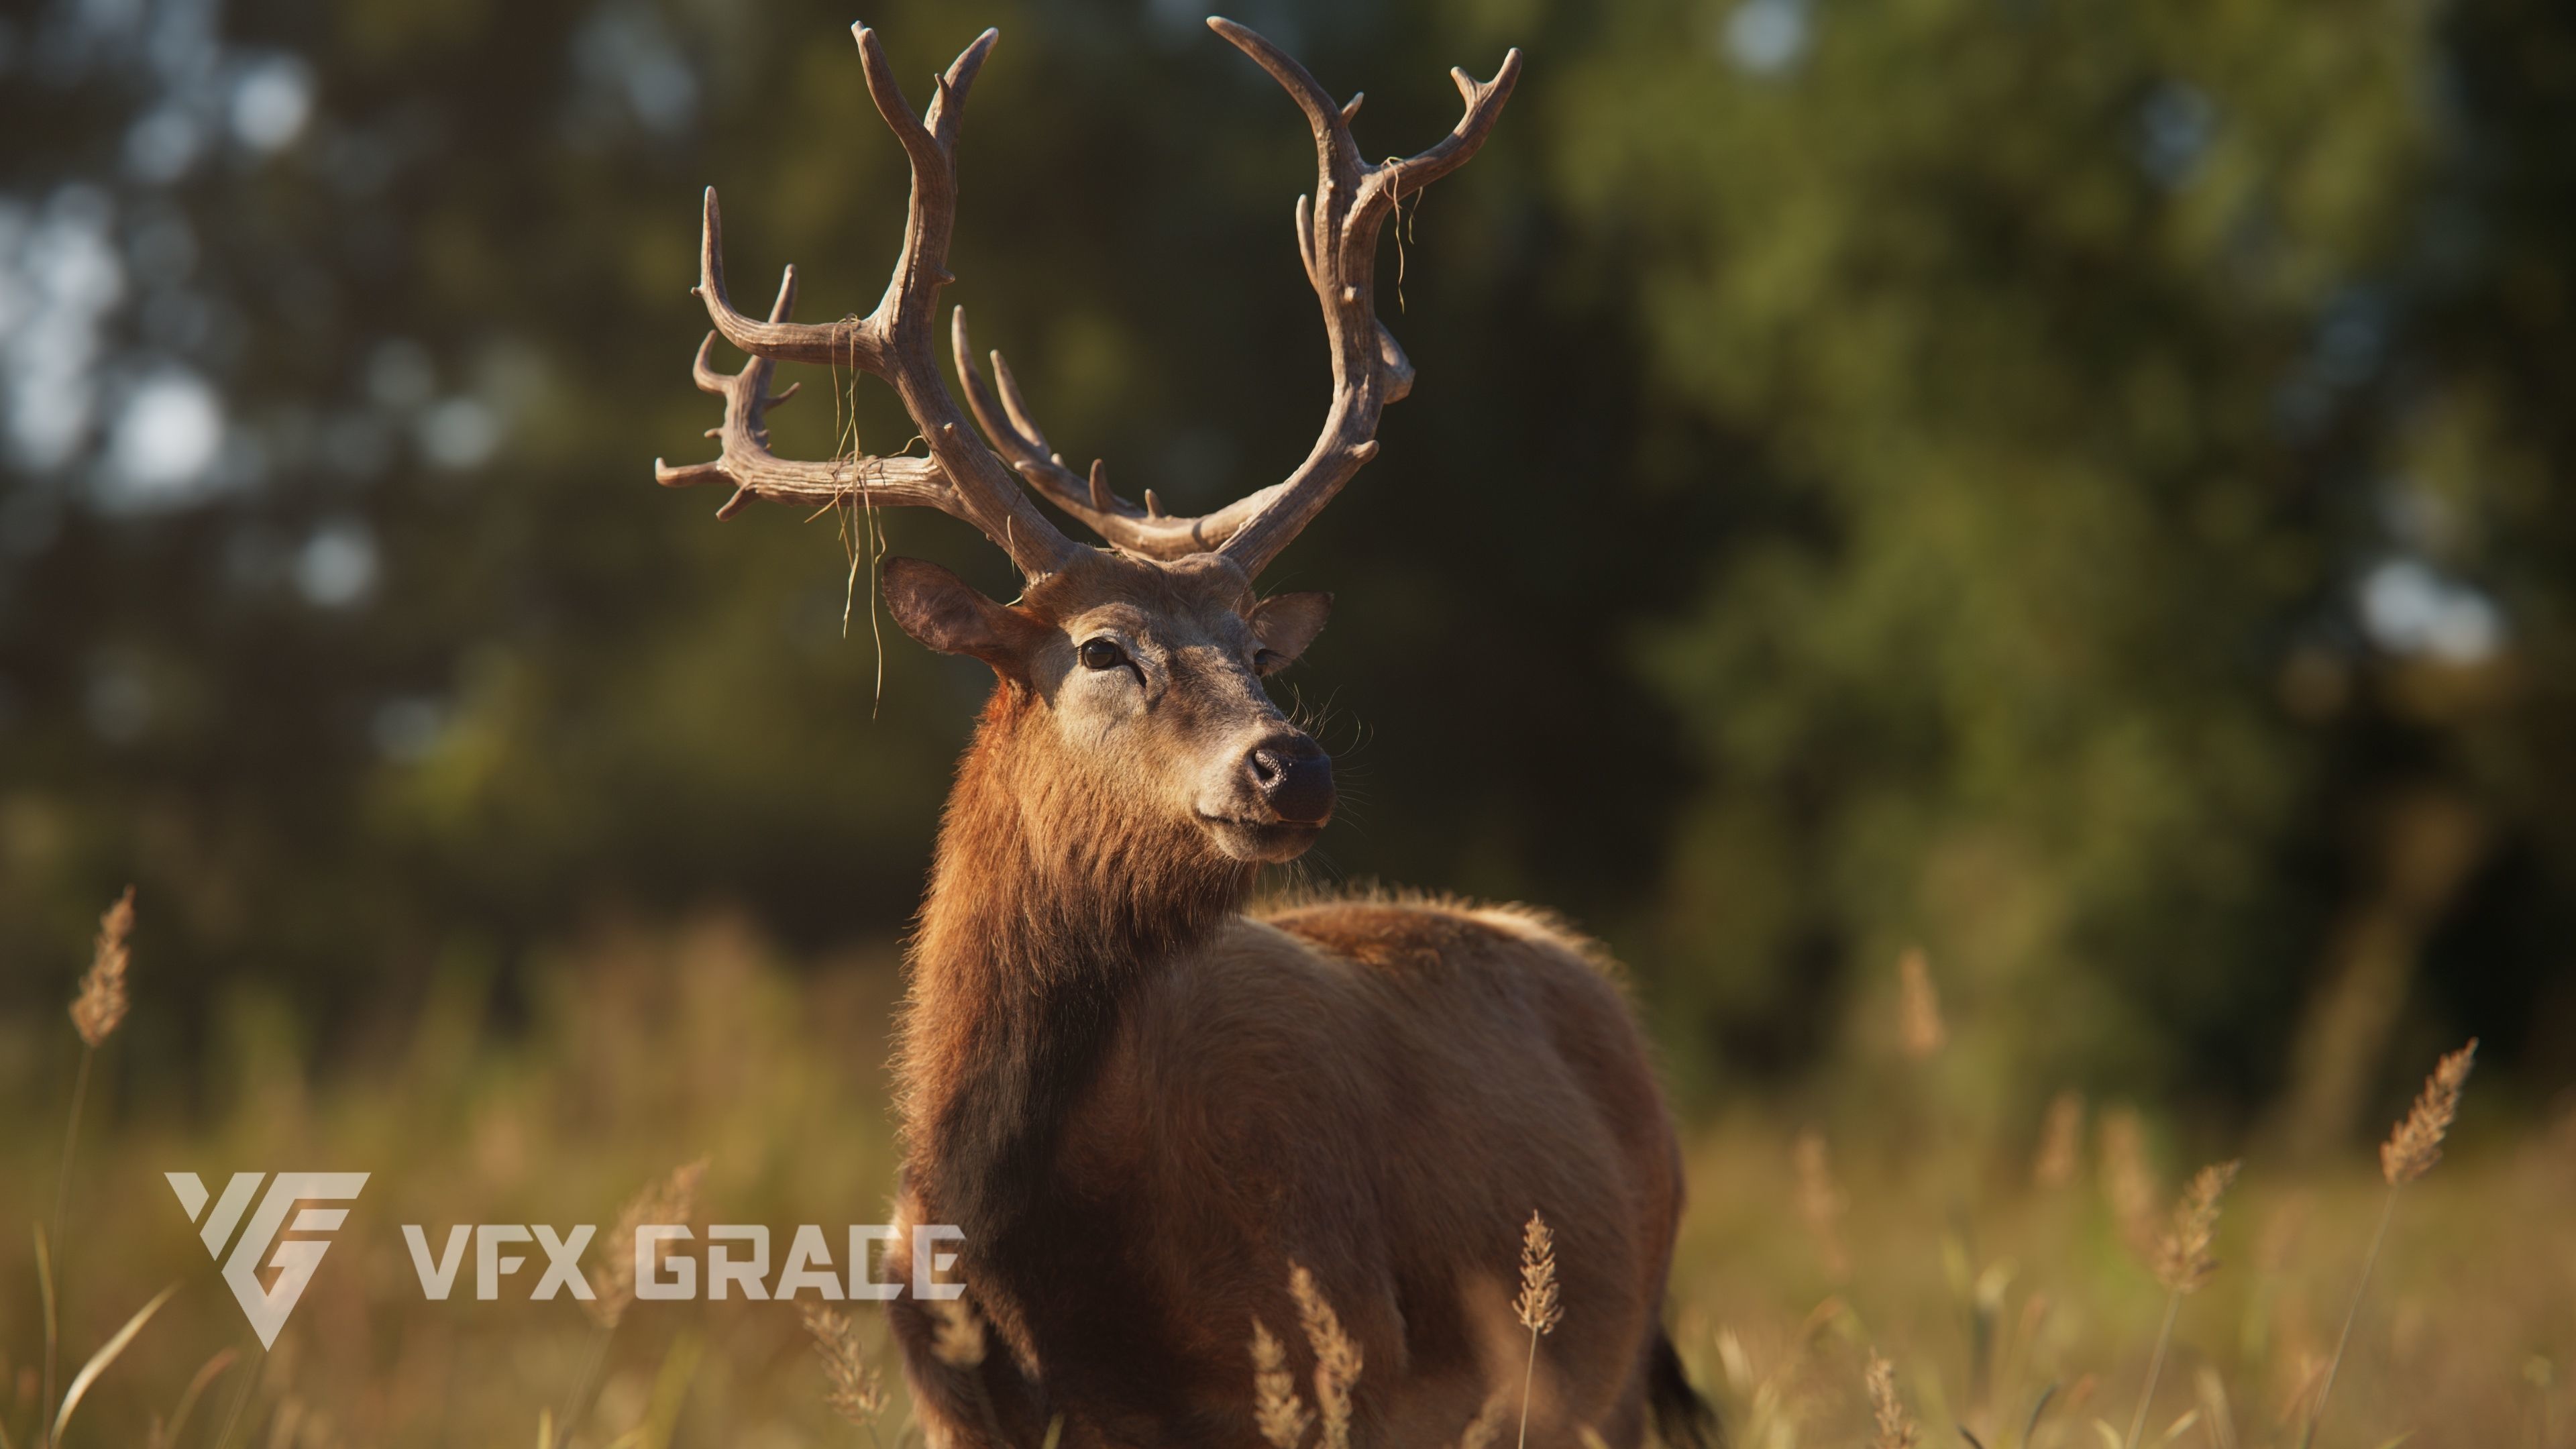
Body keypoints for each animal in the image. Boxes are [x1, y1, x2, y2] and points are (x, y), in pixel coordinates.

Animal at [653, 18, 1712, 1449]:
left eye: (1259, 652)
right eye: (1104, 648)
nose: (1292, 763)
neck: (1032, 1249)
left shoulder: (1330, 1357)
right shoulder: (956, 1399)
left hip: (1596, 1371)